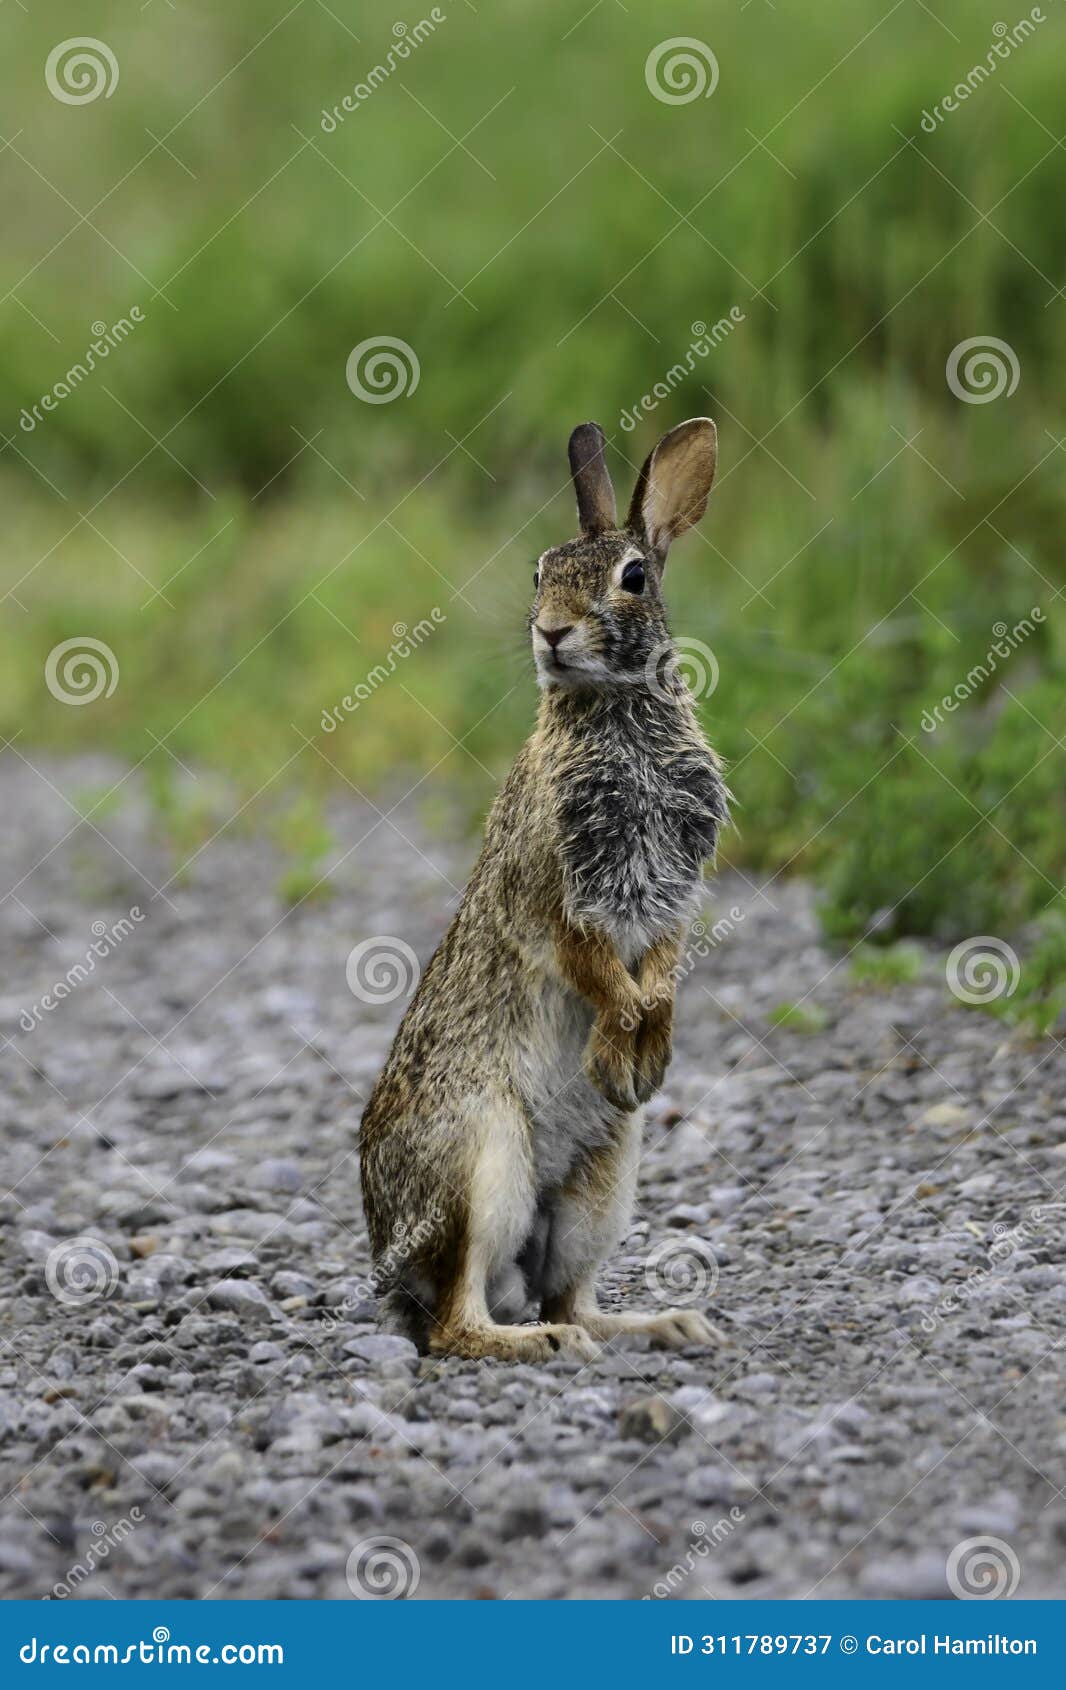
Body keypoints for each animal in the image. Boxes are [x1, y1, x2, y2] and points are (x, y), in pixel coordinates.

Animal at [359, 417, 728, 1362]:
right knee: (457, 1325)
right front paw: (617, 1046)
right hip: (483, 1166)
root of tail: (393, 1270)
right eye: (538, 574)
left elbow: (659, 970)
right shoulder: (554, 895)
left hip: (603, 1182)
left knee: (570, 1293)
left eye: (632, 578)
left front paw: (645, 1055)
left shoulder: (673, 895)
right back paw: (539, 1345)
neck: (615, 711)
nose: (553, 633)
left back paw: (665, 1323)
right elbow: (595, 969)